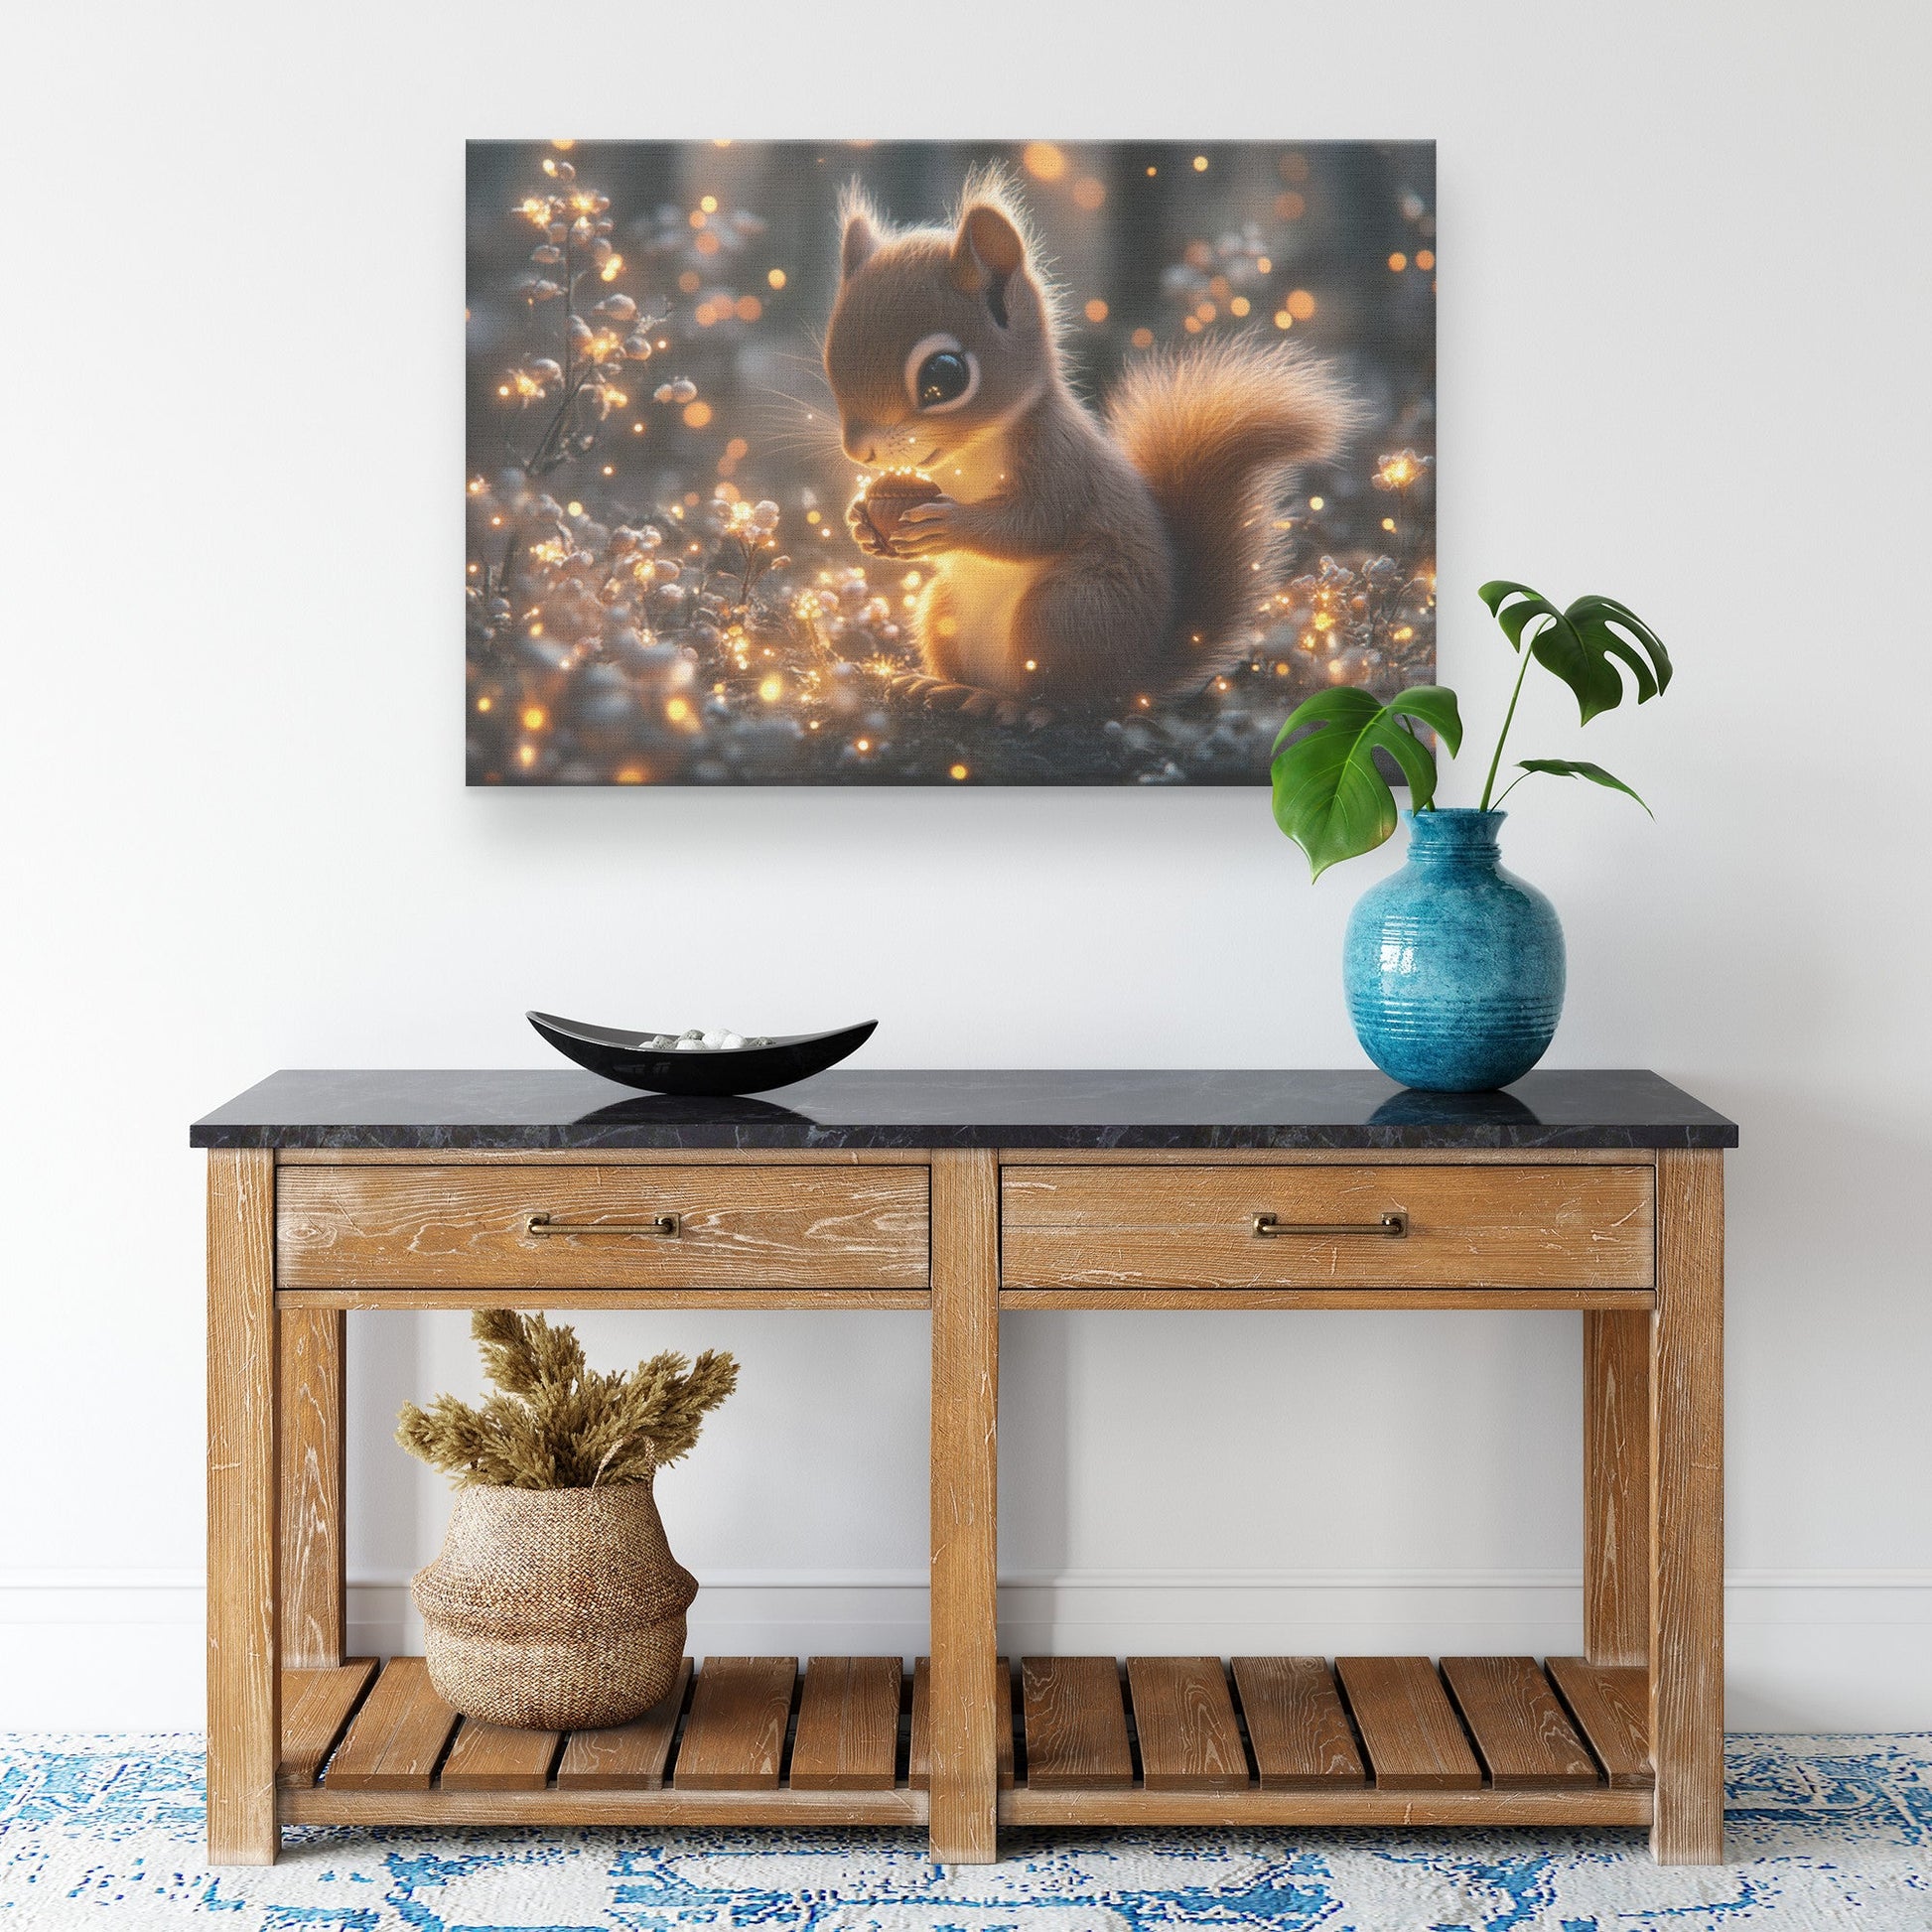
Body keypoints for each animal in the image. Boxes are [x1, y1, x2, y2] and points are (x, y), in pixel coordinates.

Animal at [822, 172, 1357, 713]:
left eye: (943, 376)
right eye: (829, 355)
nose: (859, 451)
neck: (966, 456)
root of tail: (1134, 677)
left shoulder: (1060, 460)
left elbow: (1038, 522)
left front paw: (953, 524)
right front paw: (860, 523)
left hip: (1069, 610)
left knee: (1062, 697)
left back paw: (1011, 706)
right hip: (943, 610)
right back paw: (944, 686)